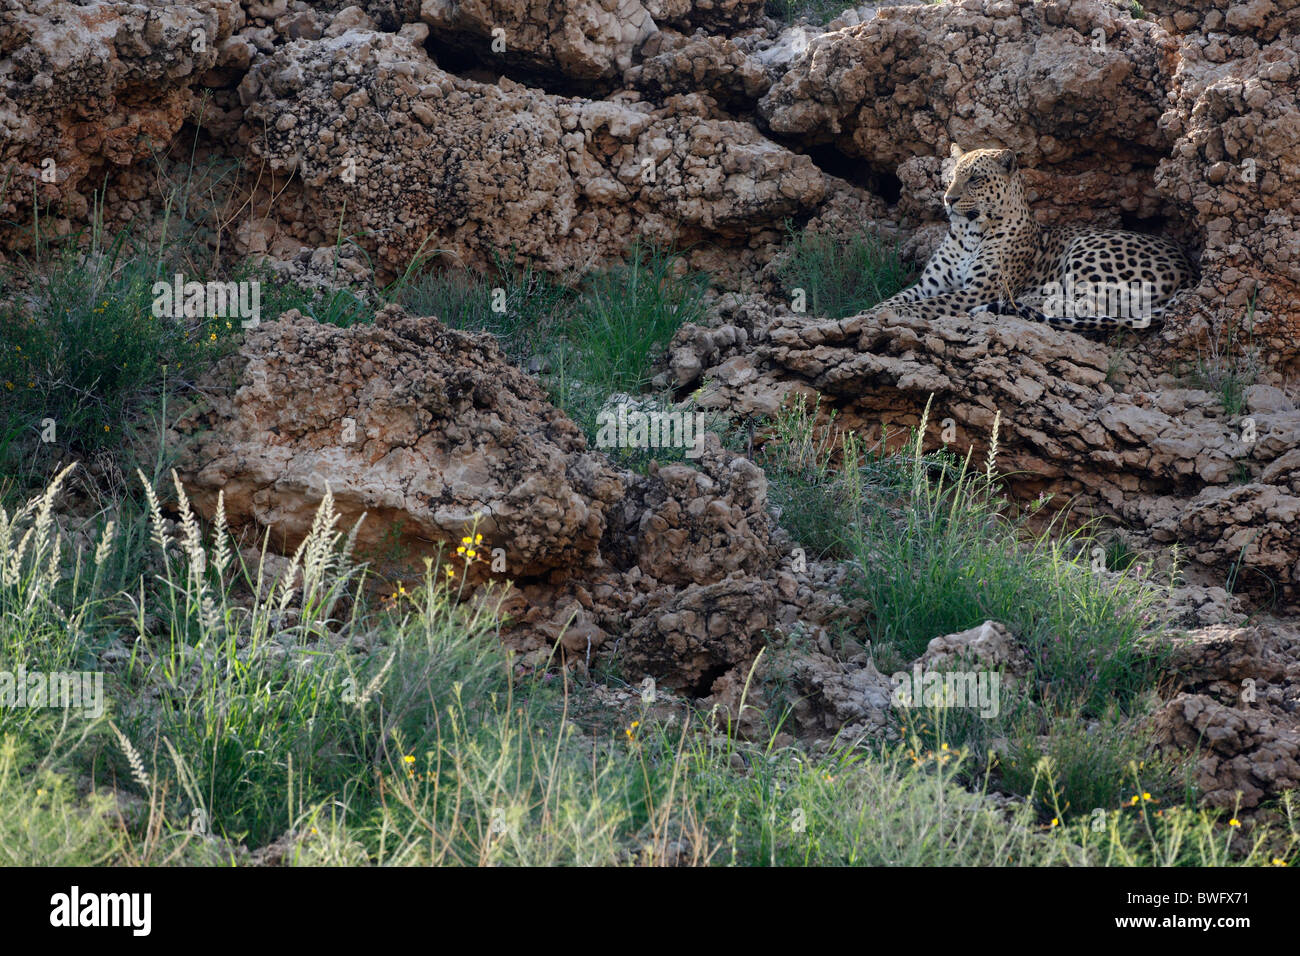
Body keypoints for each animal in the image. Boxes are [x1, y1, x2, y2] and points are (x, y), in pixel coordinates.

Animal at [868, 145, 1193, 331]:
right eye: (952, 177)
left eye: (975, 178)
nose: (949, 199)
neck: (967, 233)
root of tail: (1190, 268)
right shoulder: (928, 284)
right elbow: (899, 296)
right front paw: (872, 311)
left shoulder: (978, 291)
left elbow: (929, 305)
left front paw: (897, 313)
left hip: (1088, 245)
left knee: (1091, 305)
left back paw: (1029, 298)